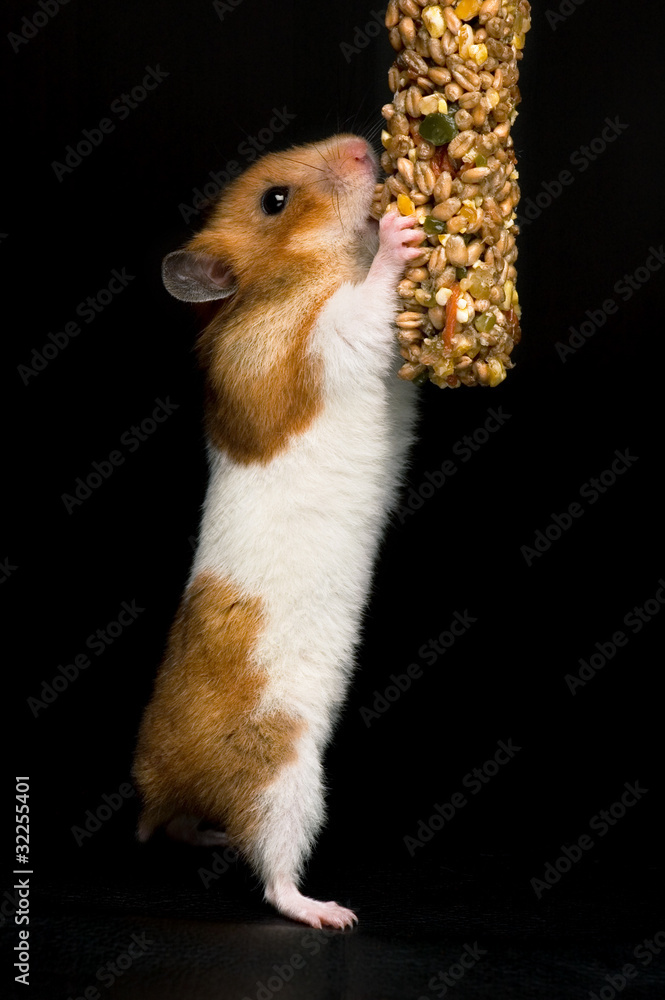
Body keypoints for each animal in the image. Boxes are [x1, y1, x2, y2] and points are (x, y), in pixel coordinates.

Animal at [132, 134, 424, 929]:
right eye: (275, 200)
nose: (359, 144)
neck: (289, 279)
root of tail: (160, 779)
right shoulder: (311, 347)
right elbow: (361, 308)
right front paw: (397, 234)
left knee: (185, 825)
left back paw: (202, 836)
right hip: (283, 775)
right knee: (270, 874)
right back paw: (327, 912)